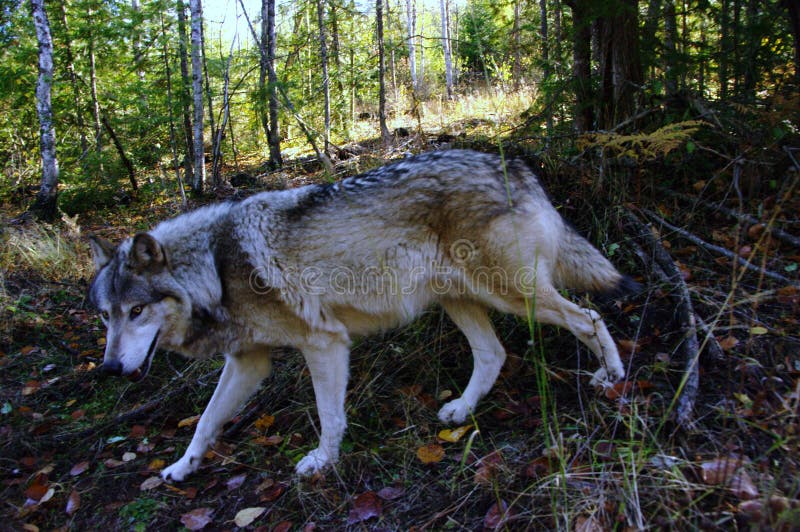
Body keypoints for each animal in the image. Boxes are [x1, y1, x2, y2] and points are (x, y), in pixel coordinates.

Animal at [88, 149, 634, 482]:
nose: (110, 369)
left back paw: (612, 378)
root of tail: (515, 163)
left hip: (514, 297)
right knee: (493, 354)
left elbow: (329, 416)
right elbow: (205, 422)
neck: (215, 268)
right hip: (460, 300)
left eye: (137, 310)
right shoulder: (248, 363)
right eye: (106, 317)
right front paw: (182, 468)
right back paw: (461, 411)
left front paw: (322, 462)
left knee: (589, 318)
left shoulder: (324, 344)